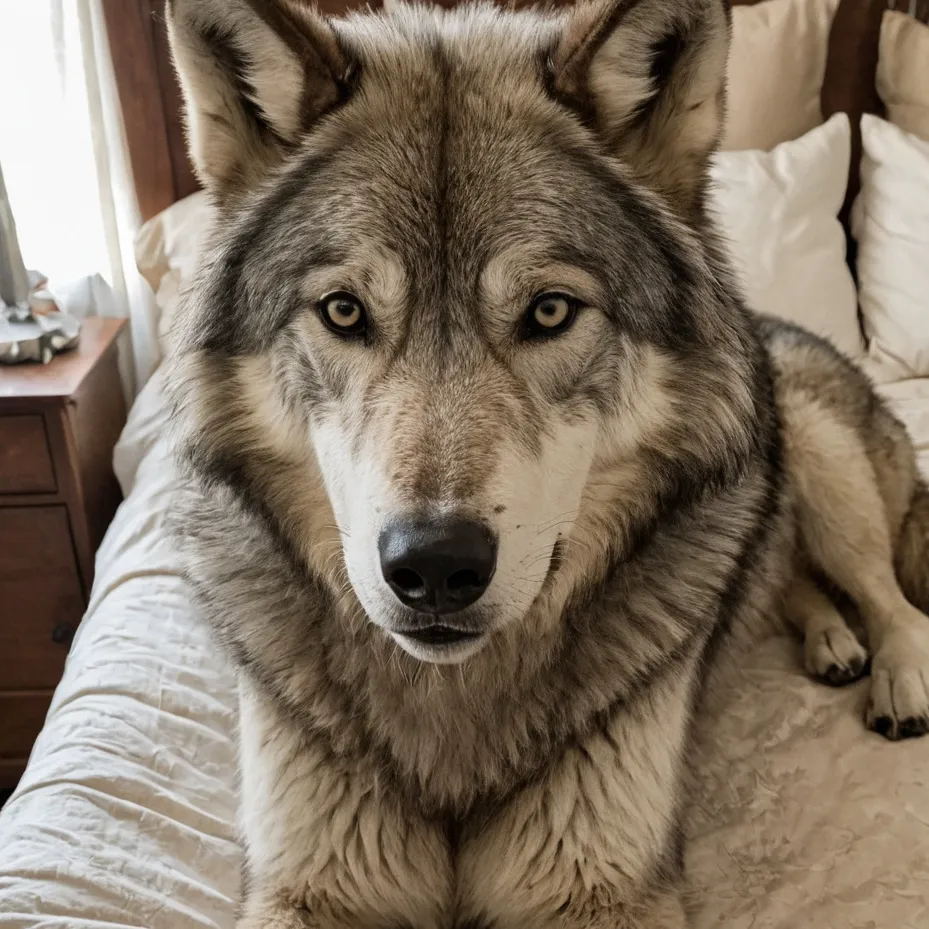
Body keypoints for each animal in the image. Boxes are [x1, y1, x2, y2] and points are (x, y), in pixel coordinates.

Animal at [164, 0, 929, 925]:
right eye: (343, 311)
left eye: (550, 311)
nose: (433, 565)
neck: (454, 714)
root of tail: (774, 327)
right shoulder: (302, 885)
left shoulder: (608, 887)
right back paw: (827, 639)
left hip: (821, 460)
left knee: (891, 602)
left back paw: (892, 676)